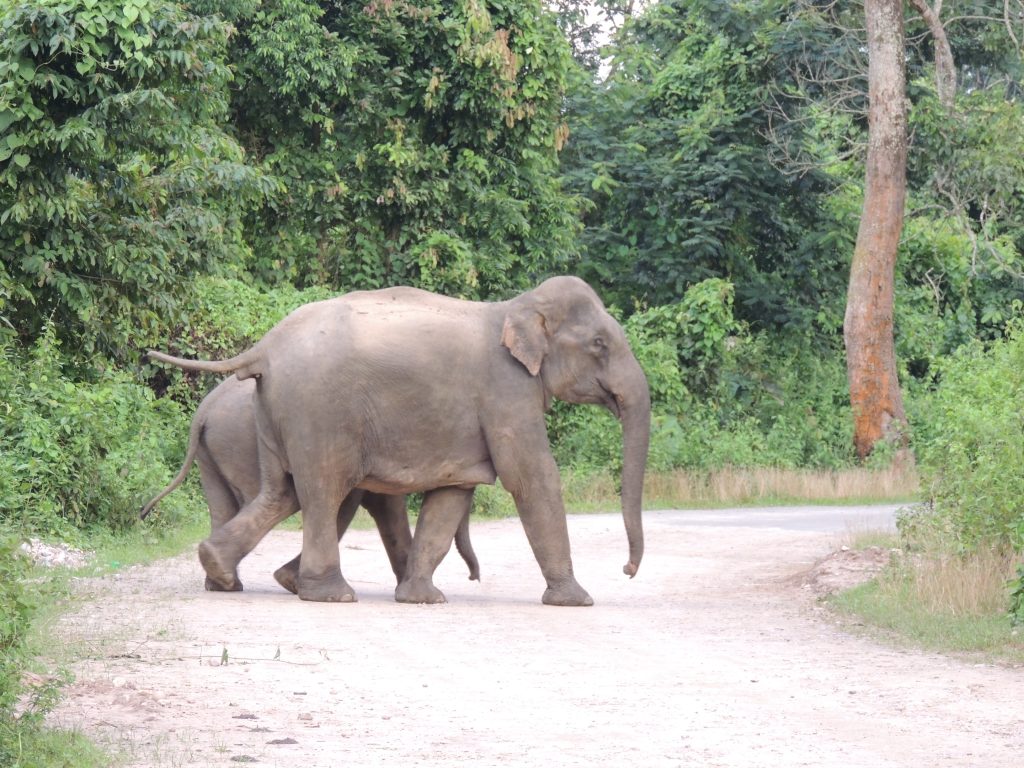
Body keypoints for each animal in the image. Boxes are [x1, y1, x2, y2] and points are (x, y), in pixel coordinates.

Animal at [139, 375, 480, 593]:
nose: (474, 578)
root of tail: (205, 410)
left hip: (212, 454)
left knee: (223, 508)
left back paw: (224, 584)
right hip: (238, 445)